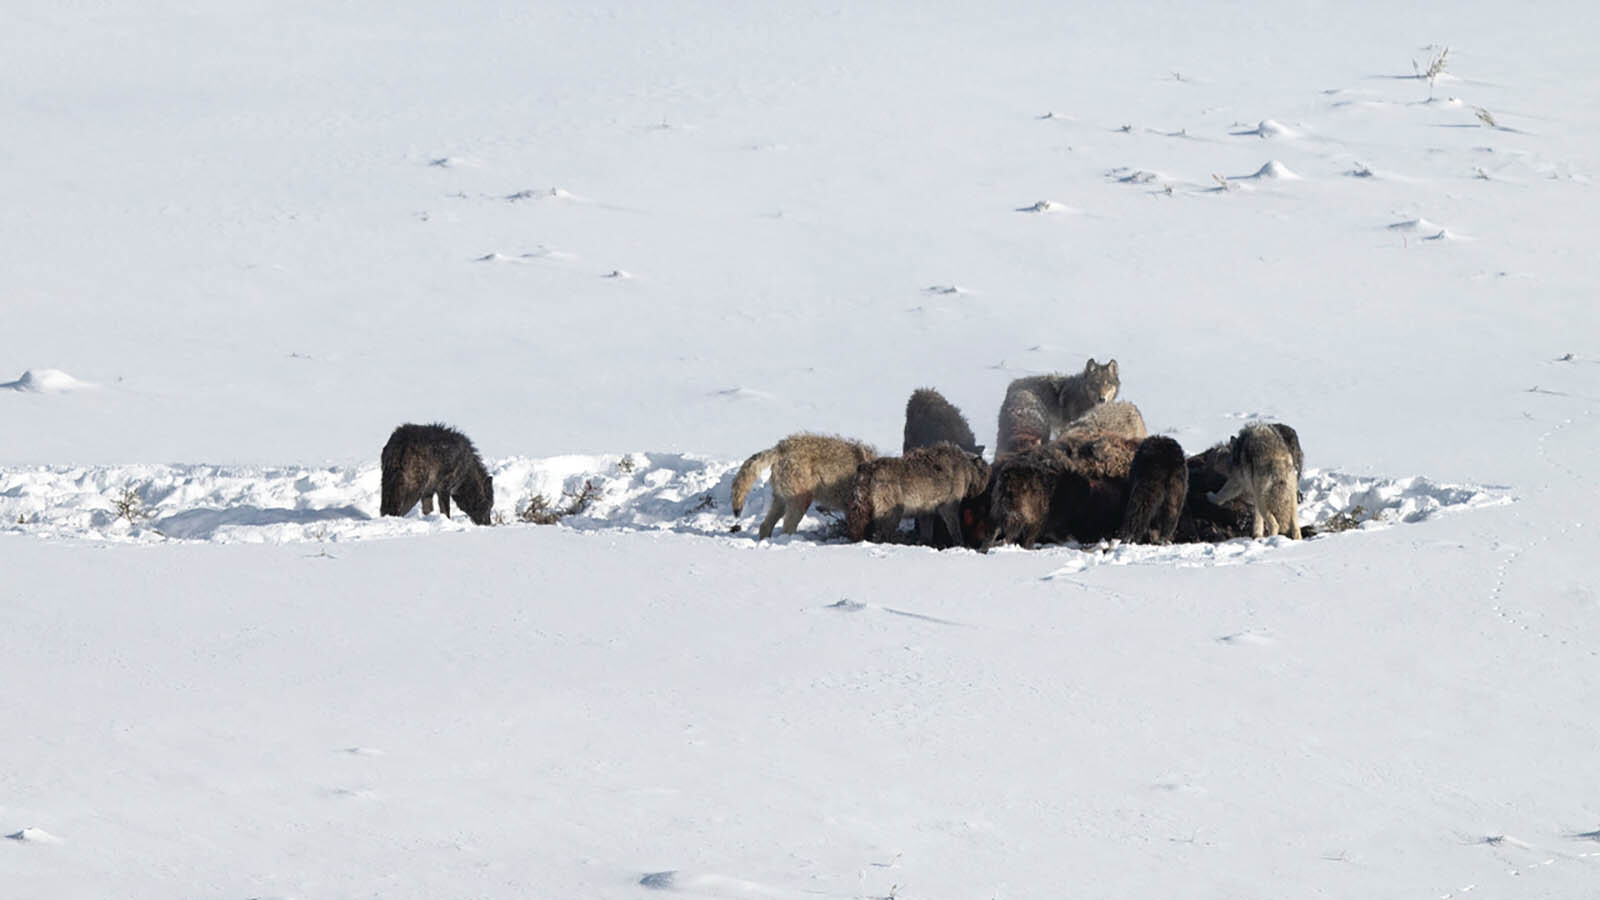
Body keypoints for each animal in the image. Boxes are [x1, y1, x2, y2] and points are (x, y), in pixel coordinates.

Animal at [846, 442, 989, 545]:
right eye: (985, 470)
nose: (985, 486)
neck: (965, 467)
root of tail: (867, 468)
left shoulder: (926, 512)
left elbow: (927, 534)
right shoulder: (949, 508)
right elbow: (955, 530)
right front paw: (961, 545)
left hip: (861, 513)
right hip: (893, 512)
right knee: (882, 536)